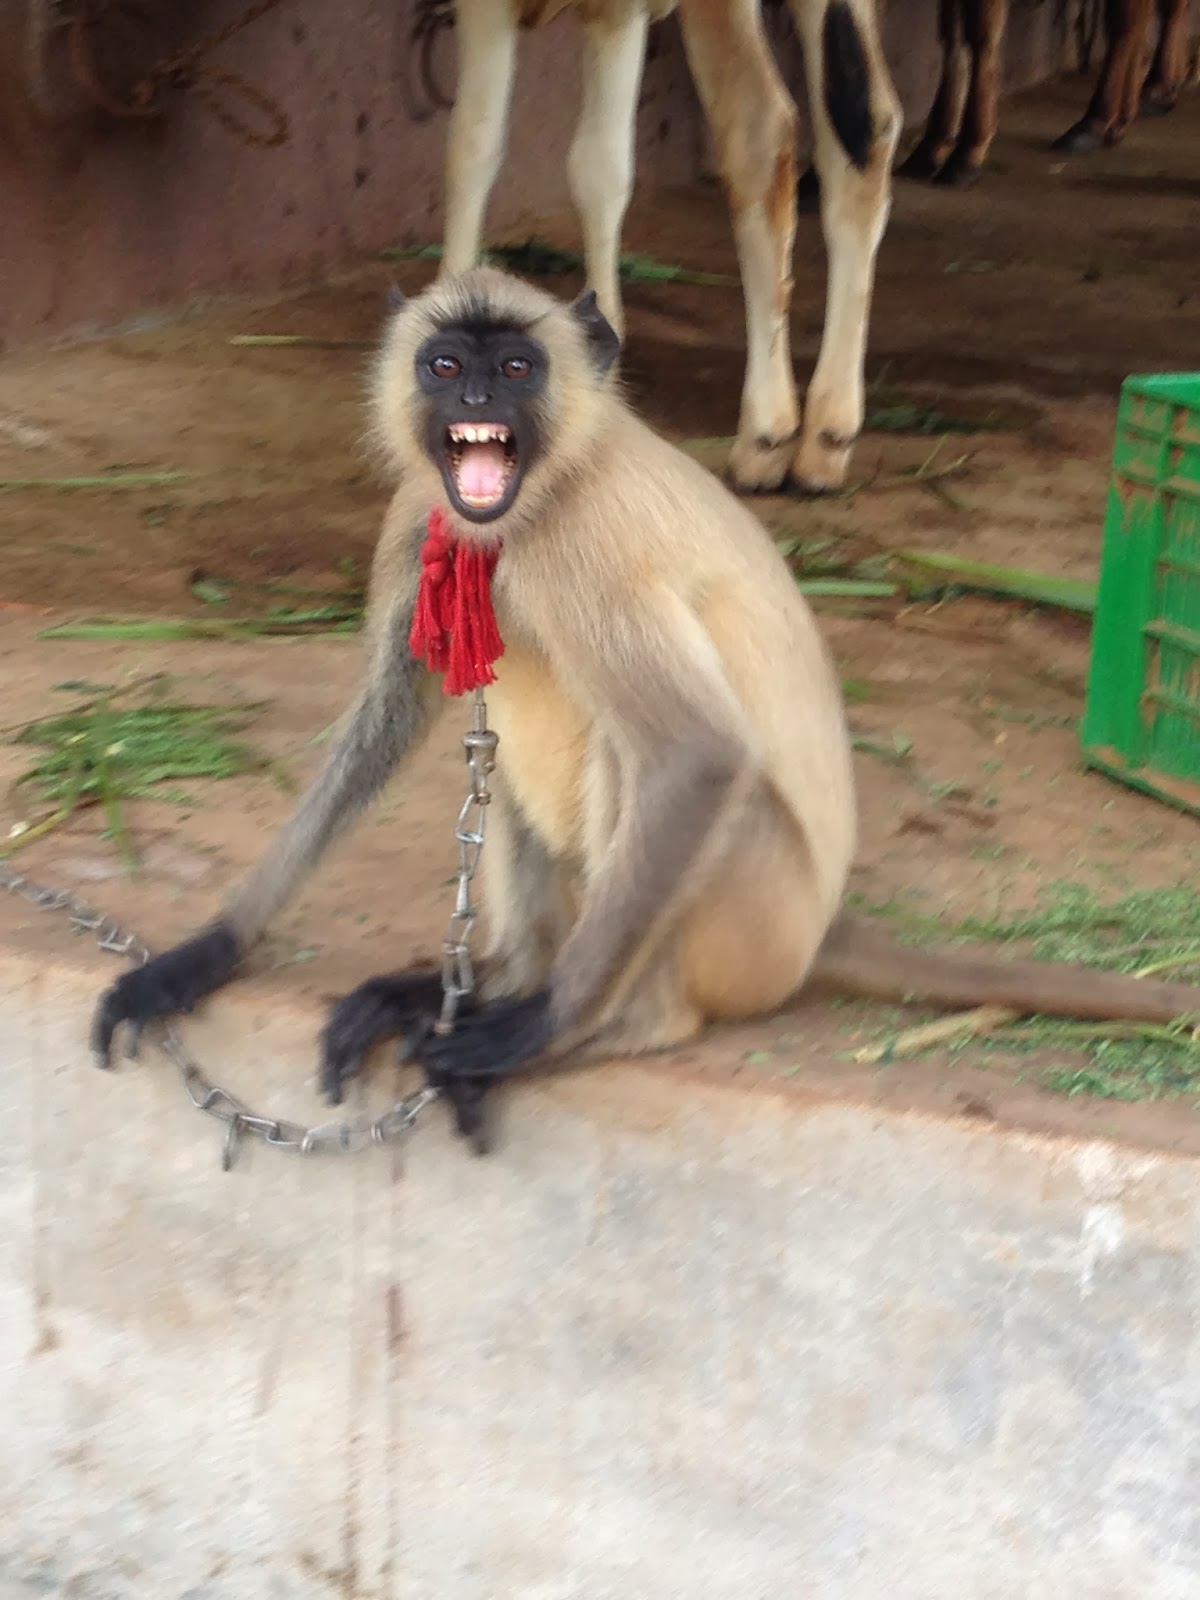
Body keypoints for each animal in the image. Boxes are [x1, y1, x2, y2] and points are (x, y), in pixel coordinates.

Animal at [92, 266, 1200, 1153]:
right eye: (446, 366)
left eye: (519, 367)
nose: (482, 393)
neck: (532, 502)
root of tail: (822, 925)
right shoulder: (420, 518)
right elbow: (385, 718)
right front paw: (206, 952)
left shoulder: (587, 542)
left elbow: (701, 753)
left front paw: (536, 1032)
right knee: (501, 760)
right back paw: (493, 975)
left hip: (750, 909)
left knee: (655, 760)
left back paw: (592, 1017)